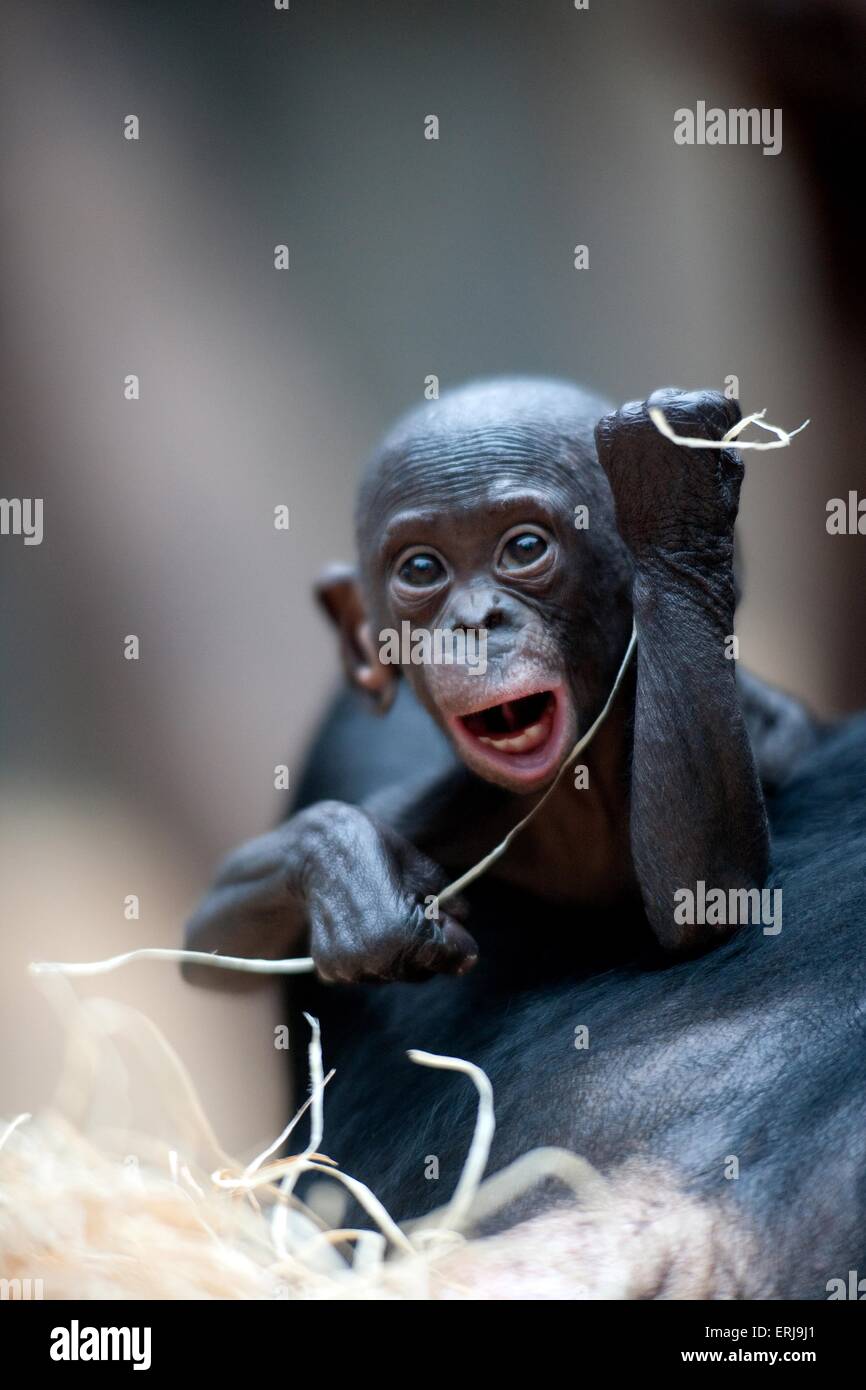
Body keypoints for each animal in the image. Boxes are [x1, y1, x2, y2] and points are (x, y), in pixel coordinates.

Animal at [184, 380, 866, 1297]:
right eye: (422, 570)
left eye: (526, 549)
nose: (478, 618)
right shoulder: (436, 813)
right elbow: (212, 940)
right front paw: (349, 882)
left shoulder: (774, 740)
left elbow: (710, 895)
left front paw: (672, 490)